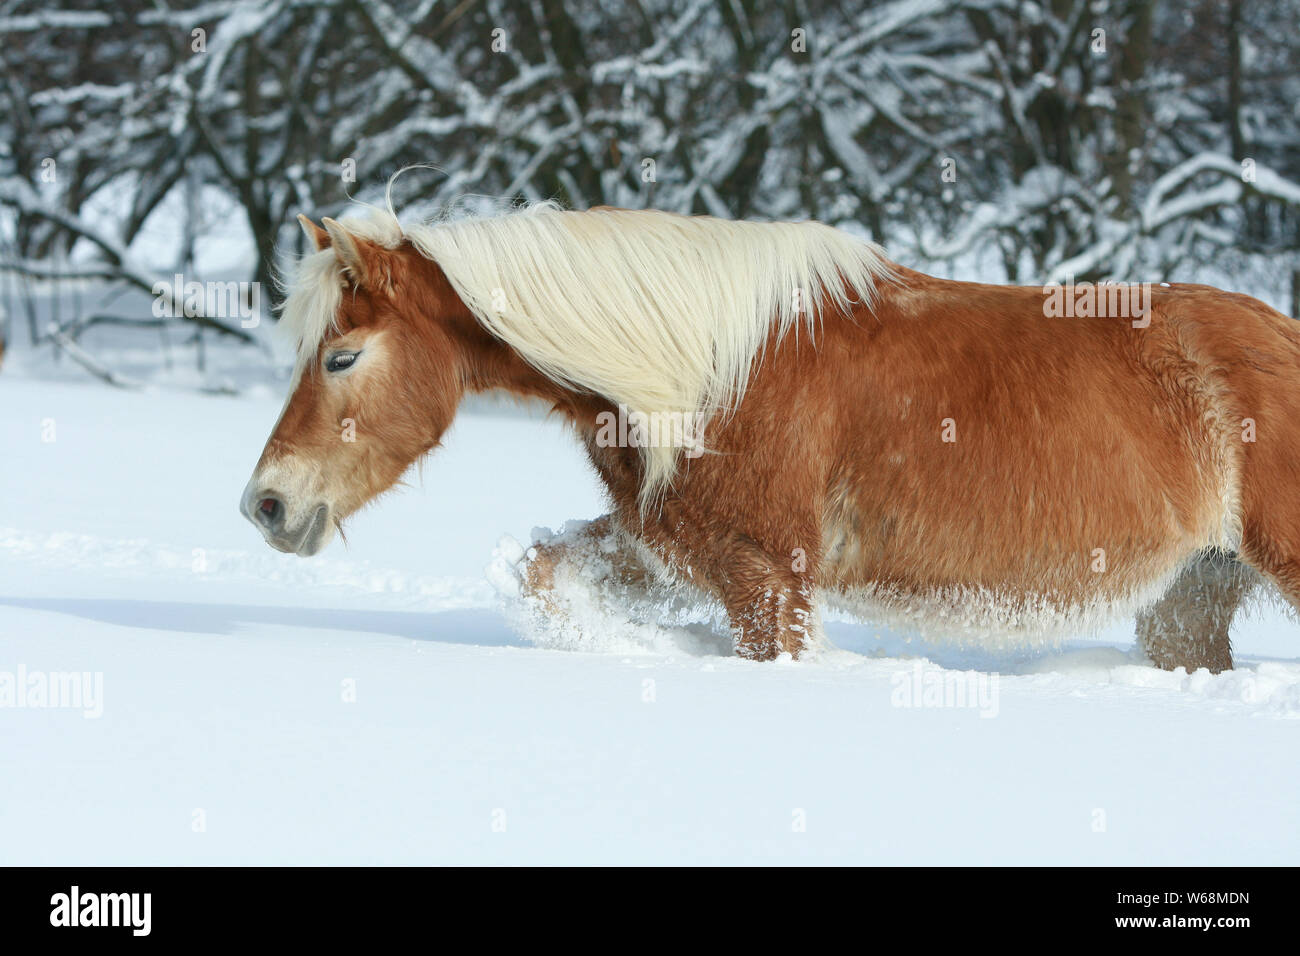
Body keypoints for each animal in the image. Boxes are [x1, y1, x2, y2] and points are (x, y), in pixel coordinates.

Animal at [241, 202, 1300, 671]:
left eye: (341, 357)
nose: (266, 505)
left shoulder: (766, 575)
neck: (707, 367)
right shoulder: (670, 544)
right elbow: (544, 573)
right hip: (1192, 596)